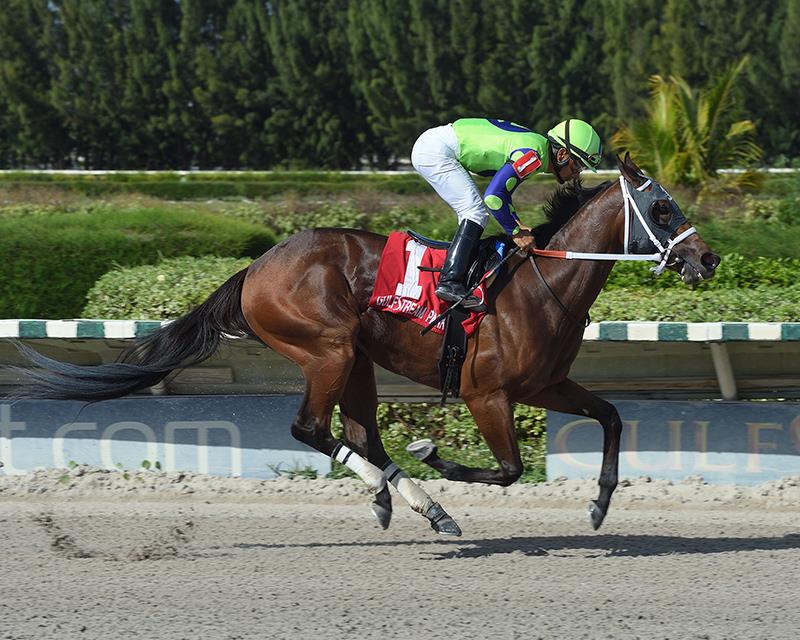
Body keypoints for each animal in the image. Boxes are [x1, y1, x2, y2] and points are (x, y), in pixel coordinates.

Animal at [9, 154, 720, 537]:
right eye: (661, 209)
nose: (707, 260)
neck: (542, 284)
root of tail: (256, 266)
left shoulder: (546, 385)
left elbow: (612, 416)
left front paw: (599, 504)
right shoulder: (485, 393)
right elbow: (509, 469)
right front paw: (436, 455)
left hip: (355, 359)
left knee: (357, 434)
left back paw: (407, 502)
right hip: (328, 349)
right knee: (311, 429)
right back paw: (413, 496)